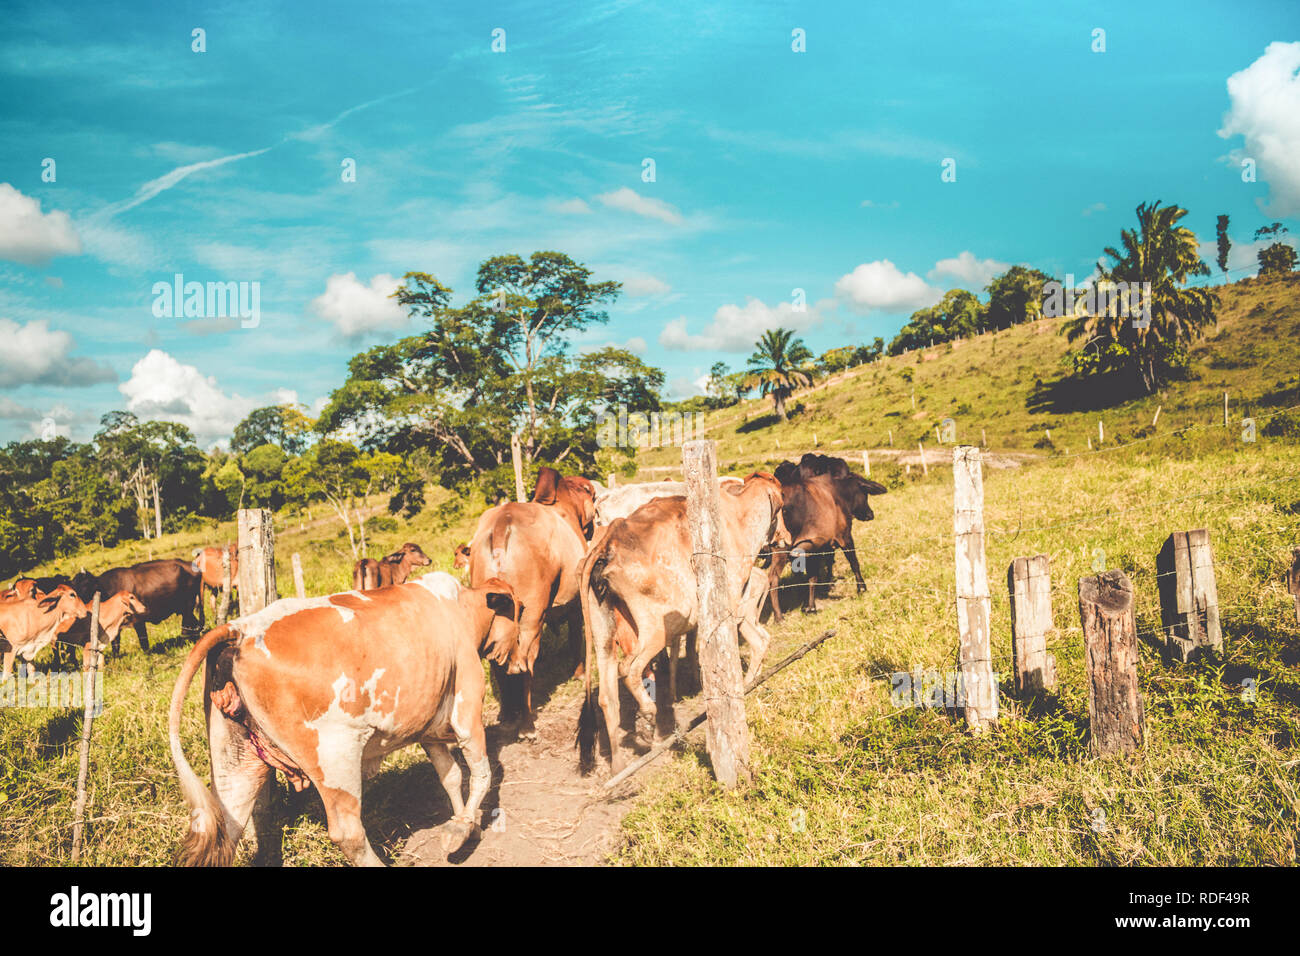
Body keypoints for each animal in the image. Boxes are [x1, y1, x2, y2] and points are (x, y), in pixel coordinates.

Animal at [71, 559, 204, 655]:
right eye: (72, 586)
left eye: (85, 585)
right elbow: (115, 643)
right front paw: (116, 658)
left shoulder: (138, 620)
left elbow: (143, 640)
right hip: (185, 608)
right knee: (194, 624)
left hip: (187, 606)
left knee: (187, 626)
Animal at [167, 573, 519, 867]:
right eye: (519, 612)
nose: (517, 660)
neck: (459, 609)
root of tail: (242, 629)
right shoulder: (467, 711)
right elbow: (482, 774)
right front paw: (463, 828)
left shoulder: (427, 730)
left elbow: (450, 777)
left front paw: (466, 825)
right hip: (335, 758)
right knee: (348, 832)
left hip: (236, 763)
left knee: (227, 828)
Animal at [467, 466, 596, 737]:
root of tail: (503, 523)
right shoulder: (576, 602)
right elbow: (575, 639)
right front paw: (579, 673)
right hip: (531, 618)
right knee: (524, 664)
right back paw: (527, 724)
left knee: (498, 663)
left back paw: (507, 714)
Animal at [577, 473, 786, 772]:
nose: (786, 537)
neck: (737, 515)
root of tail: (608, 545)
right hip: (658, 627)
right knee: (629, 668)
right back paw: (649, 718)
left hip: (603, 634)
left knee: (608, 697)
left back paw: (619, 766)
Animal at [766, 453, 887, 621]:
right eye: (865, 494)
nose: (870, 514)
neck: (837, 492)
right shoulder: (845, 537)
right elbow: (854, 563)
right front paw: (862, 588)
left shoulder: (813, 548)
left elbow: (812, 578)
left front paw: (810, 607)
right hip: (781, 549)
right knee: (773, 578)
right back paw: (778, 616)